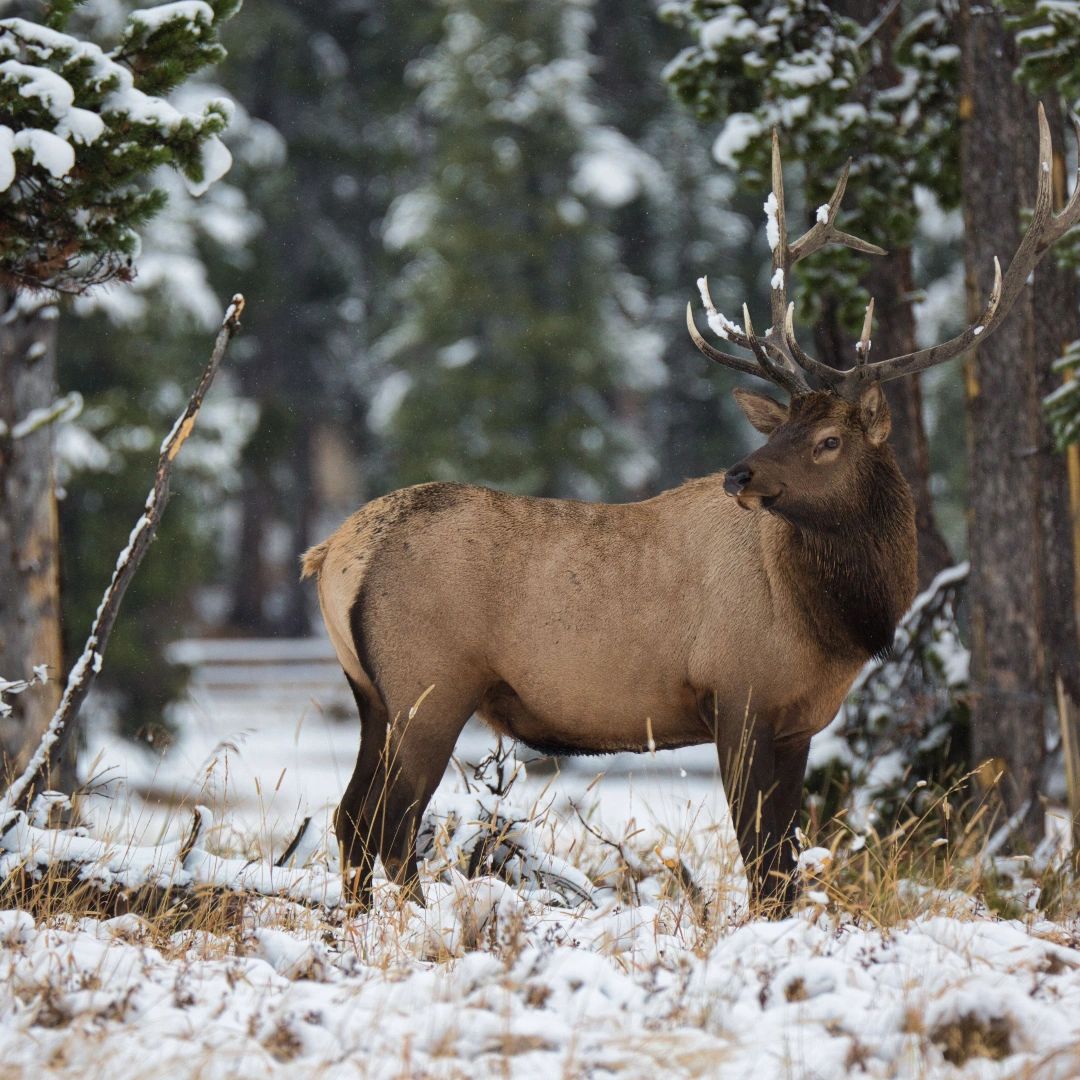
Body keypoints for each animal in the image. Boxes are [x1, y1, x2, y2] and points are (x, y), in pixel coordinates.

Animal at [303, 106, 1080, 912]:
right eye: (784, 427)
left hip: (373, 695)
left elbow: (784, 862)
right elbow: (763, 861)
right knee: (390, 826)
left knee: (349, 818)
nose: (740, 474)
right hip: (428, 687)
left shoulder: (797, 723)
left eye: (828, 438)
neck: (836, 621)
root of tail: (332, 553)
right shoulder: (736, 695)